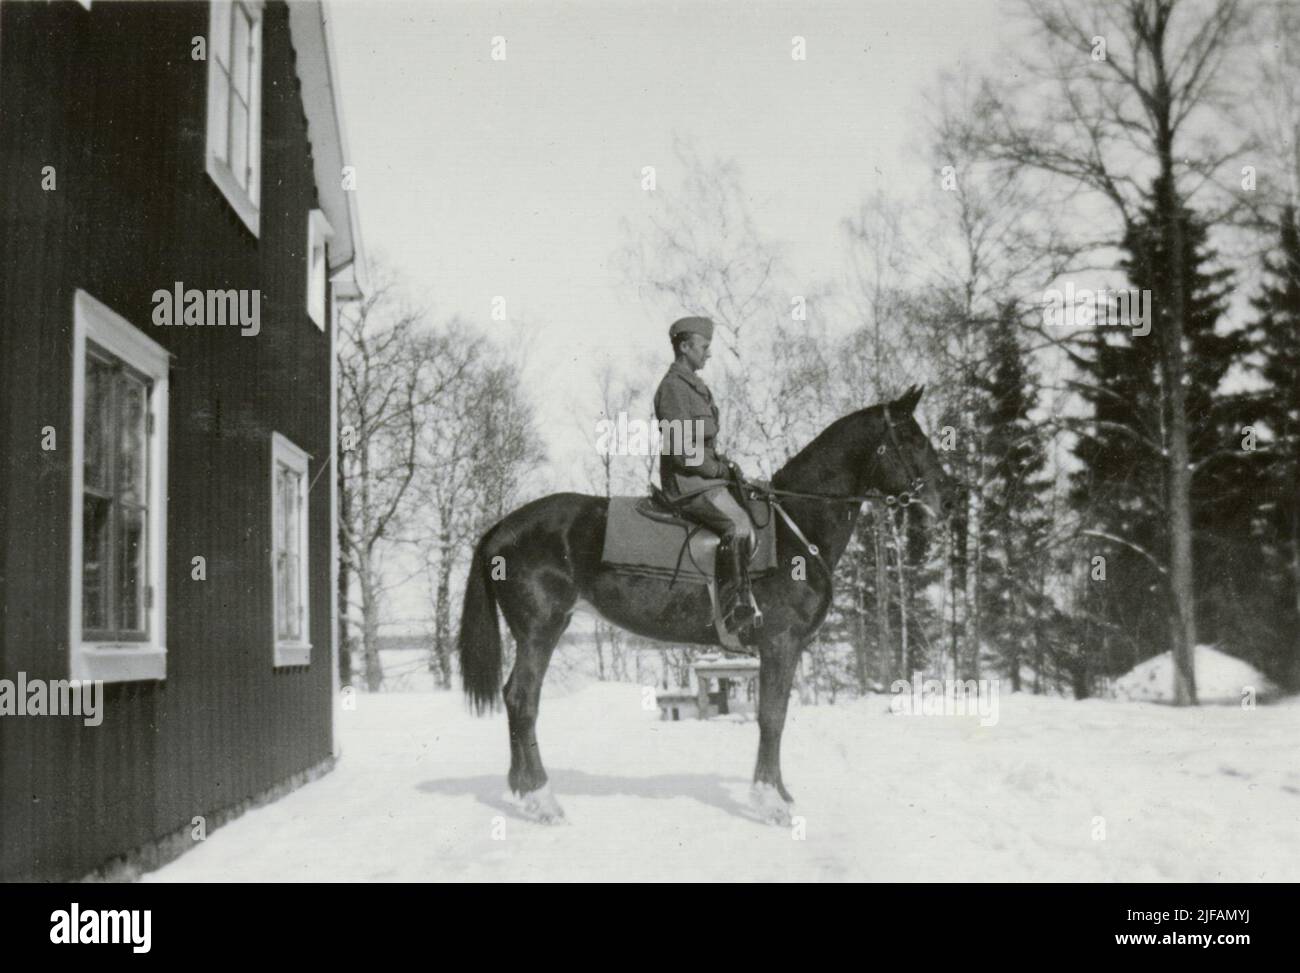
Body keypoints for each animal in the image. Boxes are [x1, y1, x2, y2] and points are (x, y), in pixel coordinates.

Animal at [455, 384, 959, 825]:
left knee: (516, 698)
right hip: (541, 630)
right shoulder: (780, 643)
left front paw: (779, 793)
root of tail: (502, 527)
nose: (949, 498)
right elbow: (770, 717)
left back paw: (523, 790)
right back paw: (542, 799)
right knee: (523, 700)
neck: (795, 528)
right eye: (911, 438)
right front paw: (769, 802)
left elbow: (777, 715)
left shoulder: (786, 649)